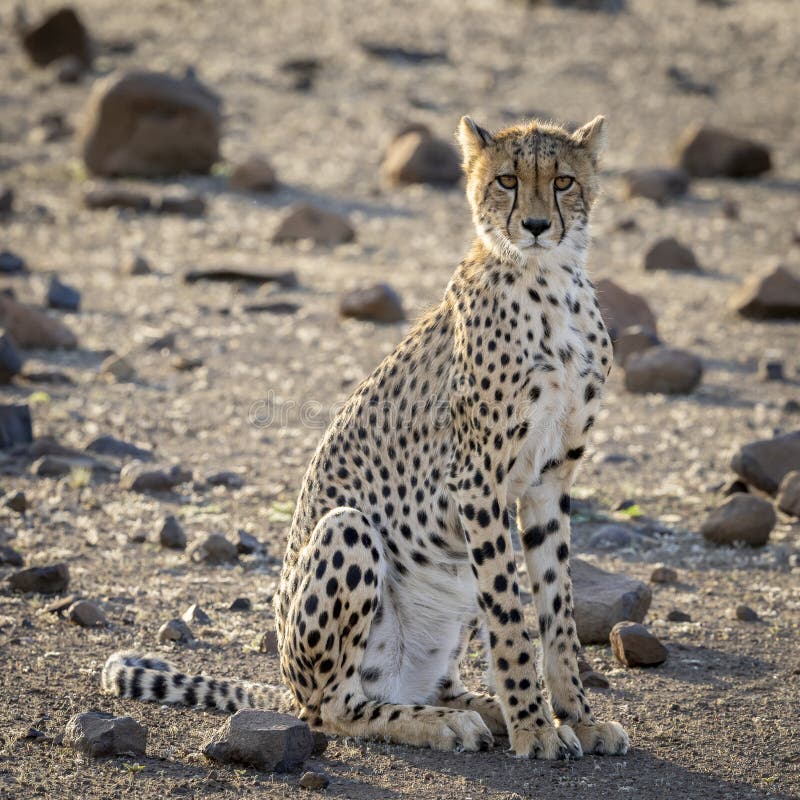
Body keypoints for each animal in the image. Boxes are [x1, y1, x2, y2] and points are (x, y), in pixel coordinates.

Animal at [103, 114, 629, 760]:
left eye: (562, 182)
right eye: (506, 180)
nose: (534, 226)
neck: (551, 283)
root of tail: (287, 684)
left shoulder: (549, 479)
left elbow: (557, 609)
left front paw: (577, 718)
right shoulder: (477, 481)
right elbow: (511, 614)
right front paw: (535, 727)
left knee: (436, 681)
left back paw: (474, 709)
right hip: (346, 535)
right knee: (333, 709)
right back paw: (441, 722)